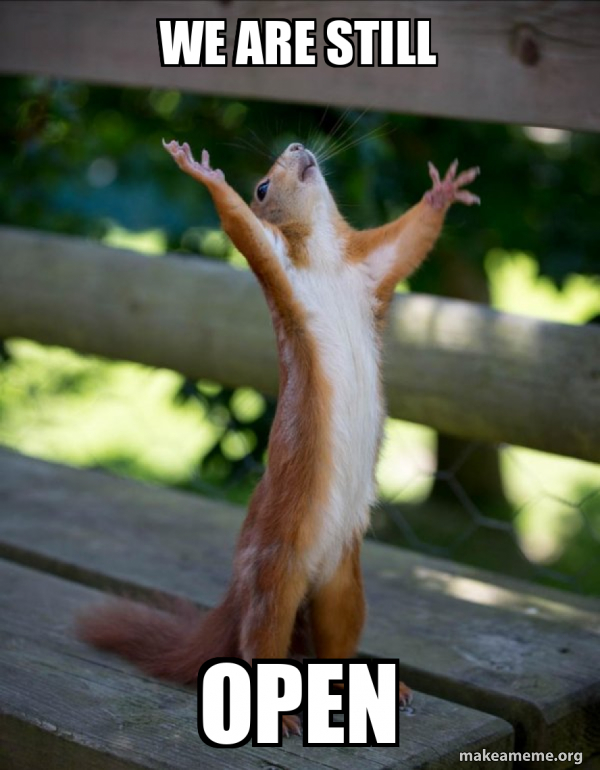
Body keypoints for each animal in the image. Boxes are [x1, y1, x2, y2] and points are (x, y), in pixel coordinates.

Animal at [77, 138, 479, 737]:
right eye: (262, 186)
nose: (296, 147)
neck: (327, 259)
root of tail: (240, 589)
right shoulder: (278, 267)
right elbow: (241, 226)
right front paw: (204, 173)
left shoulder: (372, 267)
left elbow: (409, 240)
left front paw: (443, 191)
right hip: (274, 575)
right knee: (260, 645)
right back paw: (284, 714)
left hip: (343, 585)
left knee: (333, 645)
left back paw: (376, 688)